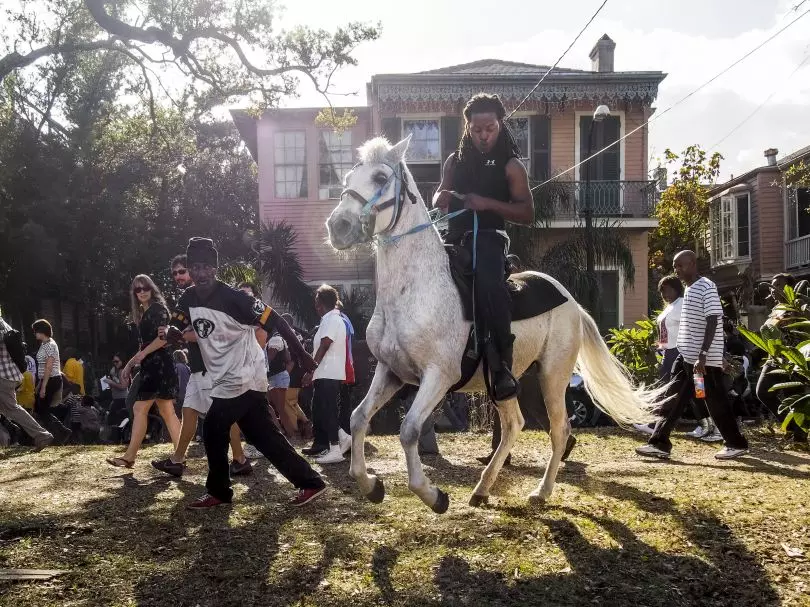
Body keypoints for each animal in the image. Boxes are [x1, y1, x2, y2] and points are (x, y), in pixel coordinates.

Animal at [326, 137, 660, 512]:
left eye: (381, 177)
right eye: (348, 177)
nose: (338, 227)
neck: (415, 288)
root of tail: (572, 302)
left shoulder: (439, 375)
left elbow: (409, 430)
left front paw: (433, 495)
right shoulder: (391, 372)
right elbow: (358, 418)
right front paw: (370, 485)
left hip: (552, 376)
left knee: (559, 430)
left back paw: (541, 492)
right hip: (509, 380)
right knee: (515, 424)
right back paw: (483, 488)